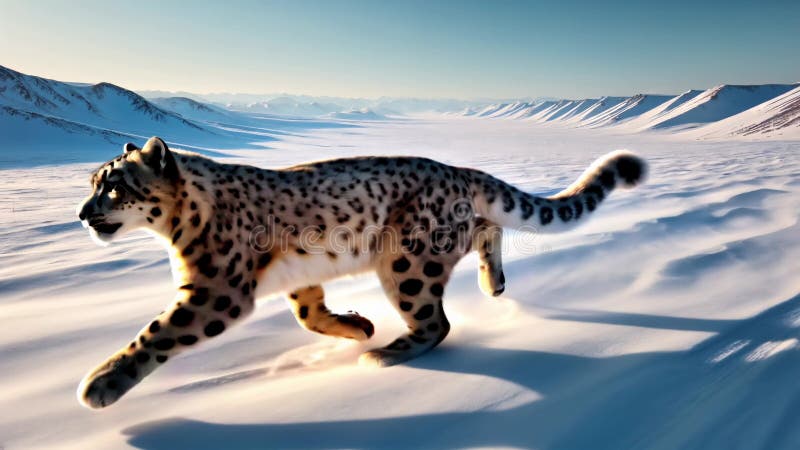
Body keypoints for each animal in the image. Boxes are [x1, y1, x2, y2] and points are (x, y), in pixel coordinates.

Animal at [76, 136, 646, 408]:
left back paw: (387, 353)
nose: (81, 214)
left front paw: (102, 383)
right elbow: (308, 314)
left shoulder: (215, 290)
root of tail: (456, 169)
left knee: (437, 321)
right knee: (487, 226)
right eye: (92, 182)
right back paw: (492, 283)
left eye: (114, 186)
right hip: (442, 238)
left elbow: (157, 334)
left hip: (407, 262)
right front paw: (357, 325)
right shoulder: (296, 280)